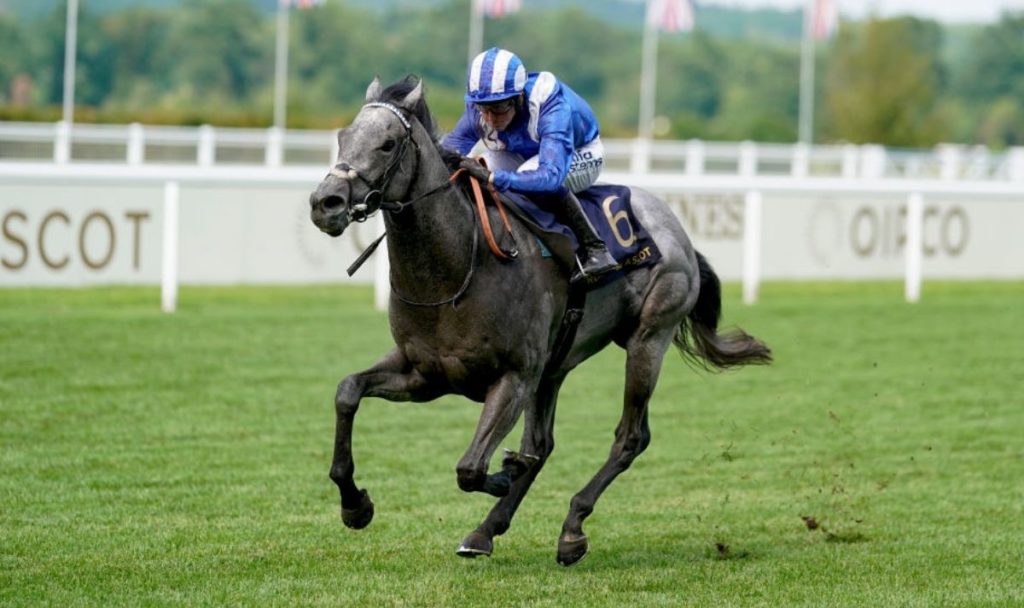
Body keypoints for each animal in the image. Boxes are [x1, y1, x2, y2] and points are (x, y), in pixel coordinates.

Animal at [308, 75, 771, 566]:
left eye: (388, 143)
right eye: (343, 137)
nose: (325, 203)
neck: (458, 266)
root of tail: (675, 228)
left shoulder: (513, 376)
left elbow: (471, 468)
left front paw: (504, 472)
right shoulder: (426, 374)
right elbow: (347, 392)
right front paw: (355, 504)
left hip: (649, 339)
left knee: (630, 436)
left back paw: (571, 528)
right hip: (555, 366)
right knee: (543, 444)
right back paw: (485, 531)